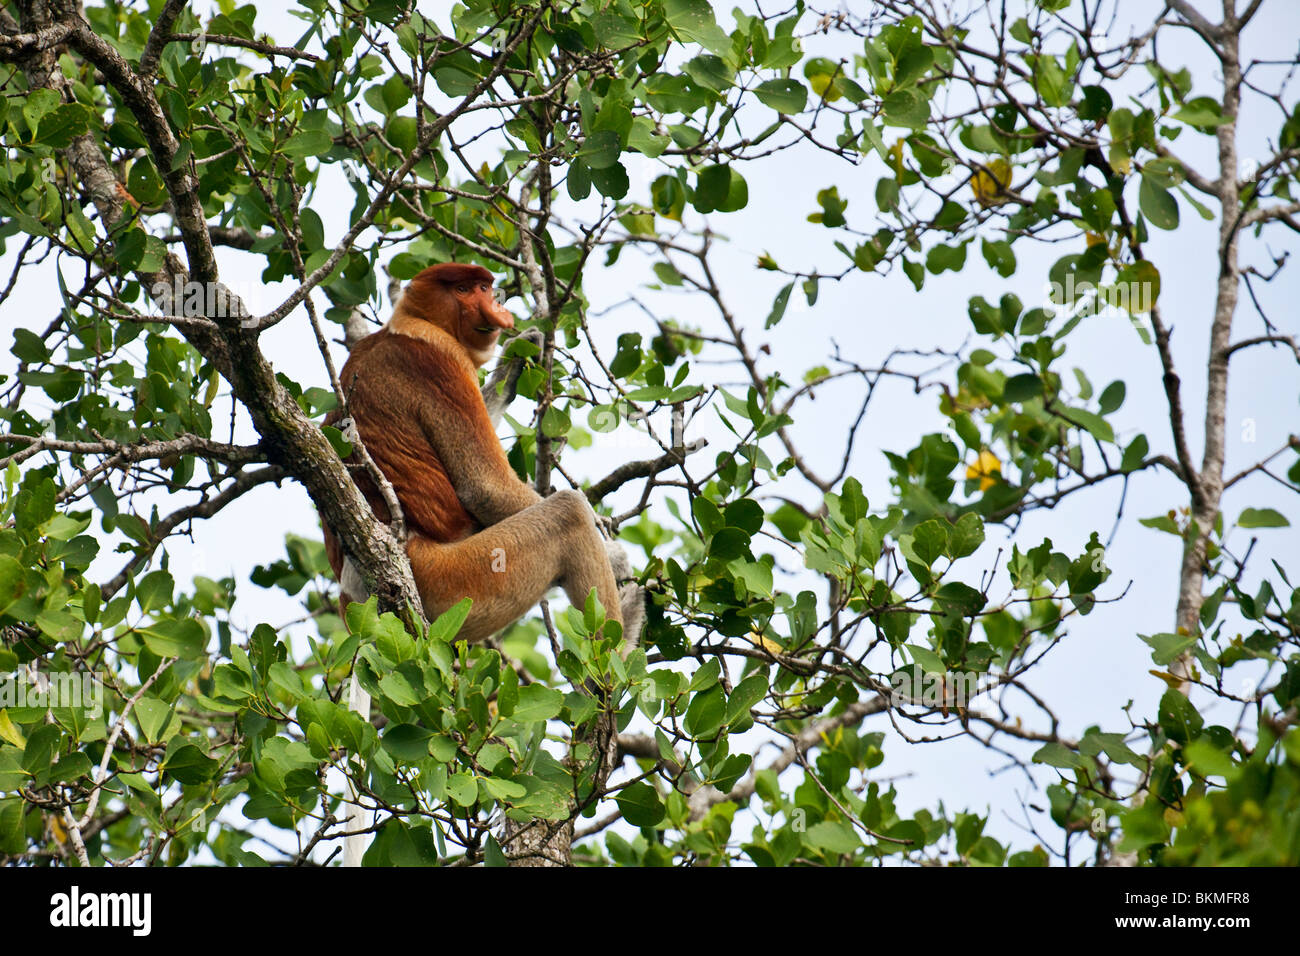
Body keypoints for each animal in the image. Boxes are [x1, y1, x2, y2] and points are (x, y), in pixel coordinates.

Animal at [321, 262, 644, 648]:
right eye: (463, 289)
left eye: (485, 287)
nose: (496, 307)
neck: (409, 324)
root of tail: (351, 593)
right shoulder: (441, 364)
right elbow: (485, 487)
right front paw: (616, 557)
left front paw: (514, 361)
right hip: (451, 579)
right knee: (567, 514)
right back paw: (618, 651)